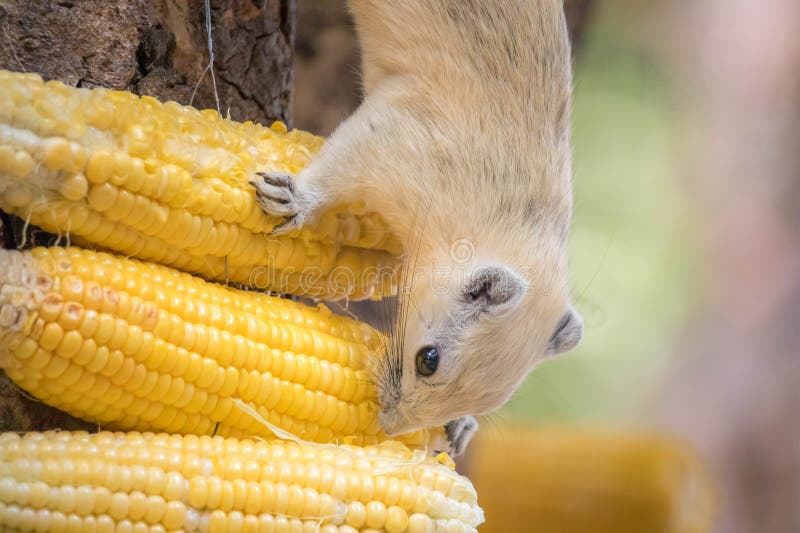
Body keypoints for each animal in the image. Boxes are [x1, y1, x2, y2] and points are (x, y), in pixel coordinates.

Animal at [252, 0, 583, 455]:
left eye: (495, 402)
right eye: (428, 361)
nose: (388, 425)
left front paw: (461, 428)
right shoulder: (392, 139)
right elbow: (336, 171)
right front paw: (295, 198)